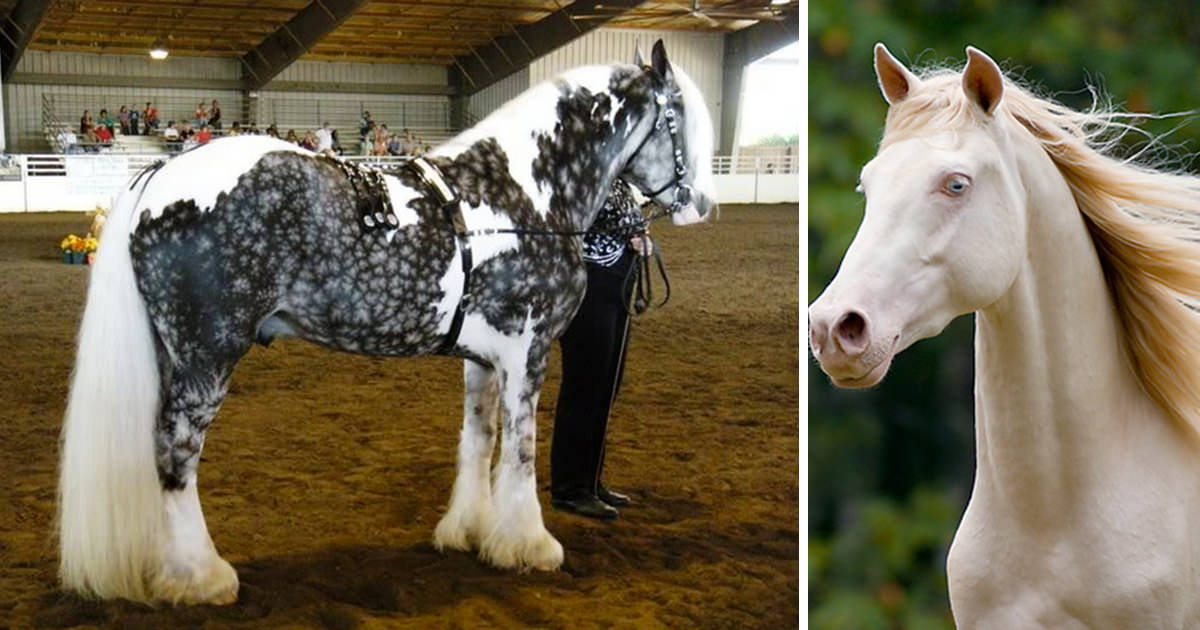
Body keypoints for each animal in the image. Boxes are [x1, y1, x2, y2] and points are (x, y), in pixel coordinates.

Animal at [58, 40, 716, 605]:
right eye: (682, 116)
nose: (703, 205)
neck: (522, 193)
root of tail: (158, 178)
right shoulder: (528, 353)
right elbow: (521, 450)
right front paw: (529, 545)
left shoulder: (484, 360)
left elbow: (479, 441)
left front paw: (469, 532)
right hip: (206, 357)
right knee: (176, 452)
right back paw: (201, 575)